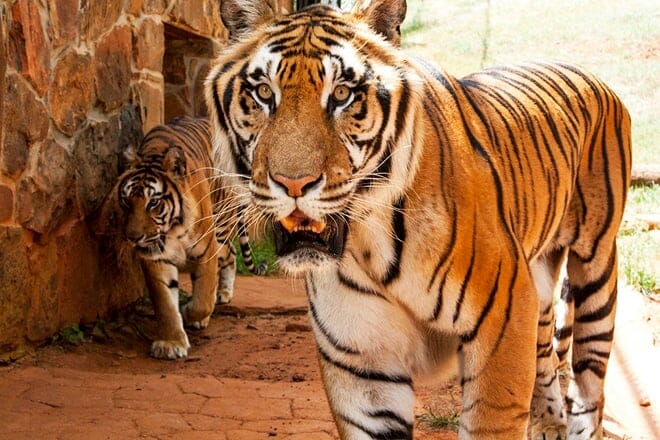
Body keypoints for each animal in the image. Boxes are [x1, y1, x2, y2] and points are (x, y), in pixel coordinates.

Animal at [115, 116, 265, 360]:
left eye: (153, 203)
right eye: (127, 201)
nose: (133, 237)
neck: (172, 229)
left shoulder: (206, 249)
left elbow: (202, 298)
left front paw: (191, 312)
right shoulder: (155, 256)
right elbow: (165, 303)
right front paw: (170, 343)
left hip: (220, 225)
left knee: (229, 253)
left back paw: (221, 295)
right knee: (231, 253)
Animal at [205, 0, 631, 438]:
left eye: (341, 94)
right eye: (263, 93)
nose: (293, 183)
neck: (367, 244)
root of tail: (591, 76)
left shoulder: (504, 320)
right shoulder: (363, 362)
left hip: (596, 267)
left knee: (590, 378)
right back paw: (547, 422)